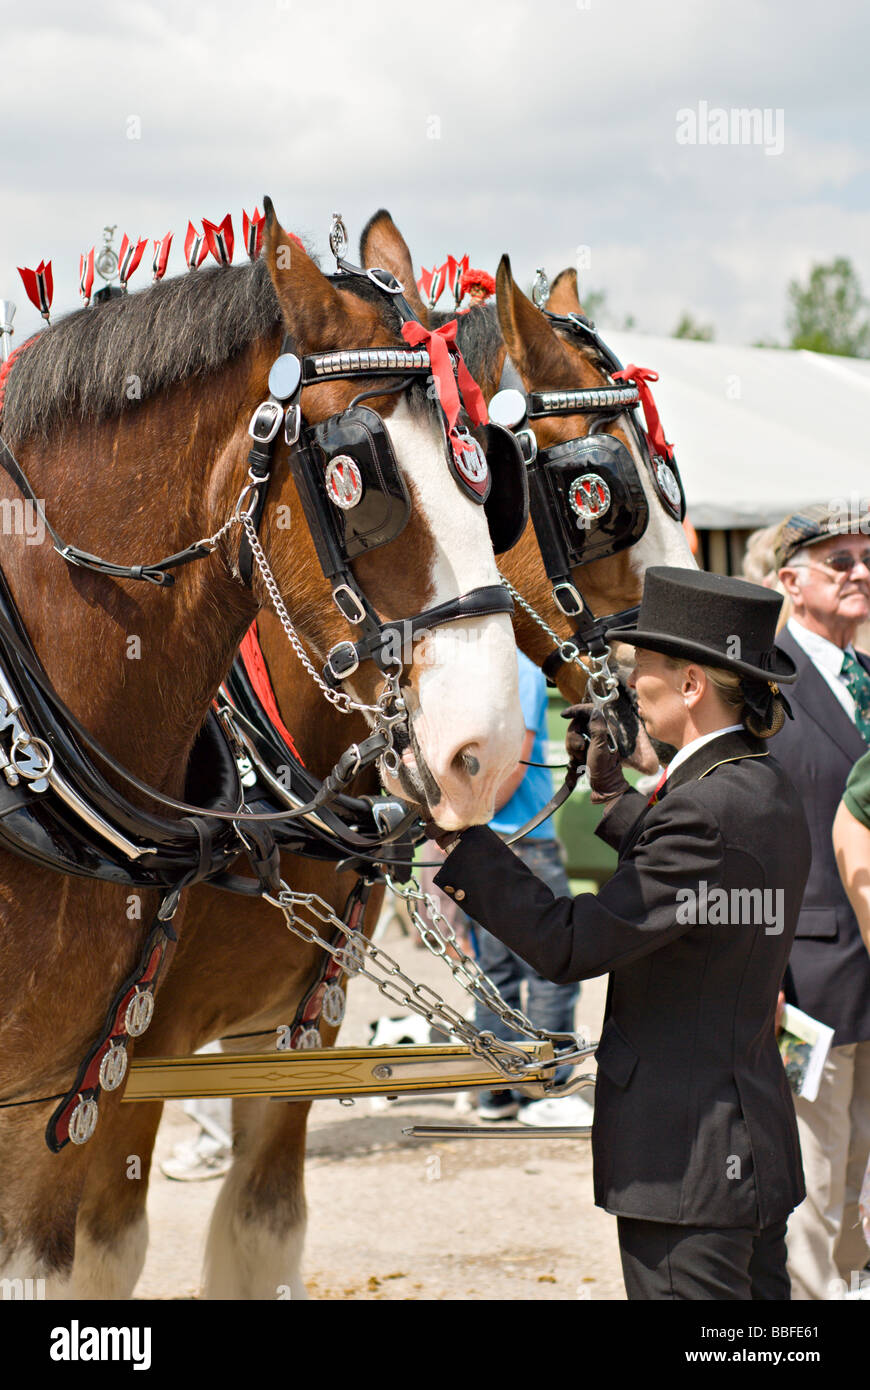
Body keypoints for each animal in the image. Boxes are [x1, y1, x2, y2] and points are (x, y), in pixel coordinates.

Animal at [0, 202, 527, 1295]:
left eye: (492, 480)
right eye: (361, 479)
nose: (491, 751)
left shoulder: (235, 1046)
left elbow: (257, 1230)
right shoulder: (132, 1064)